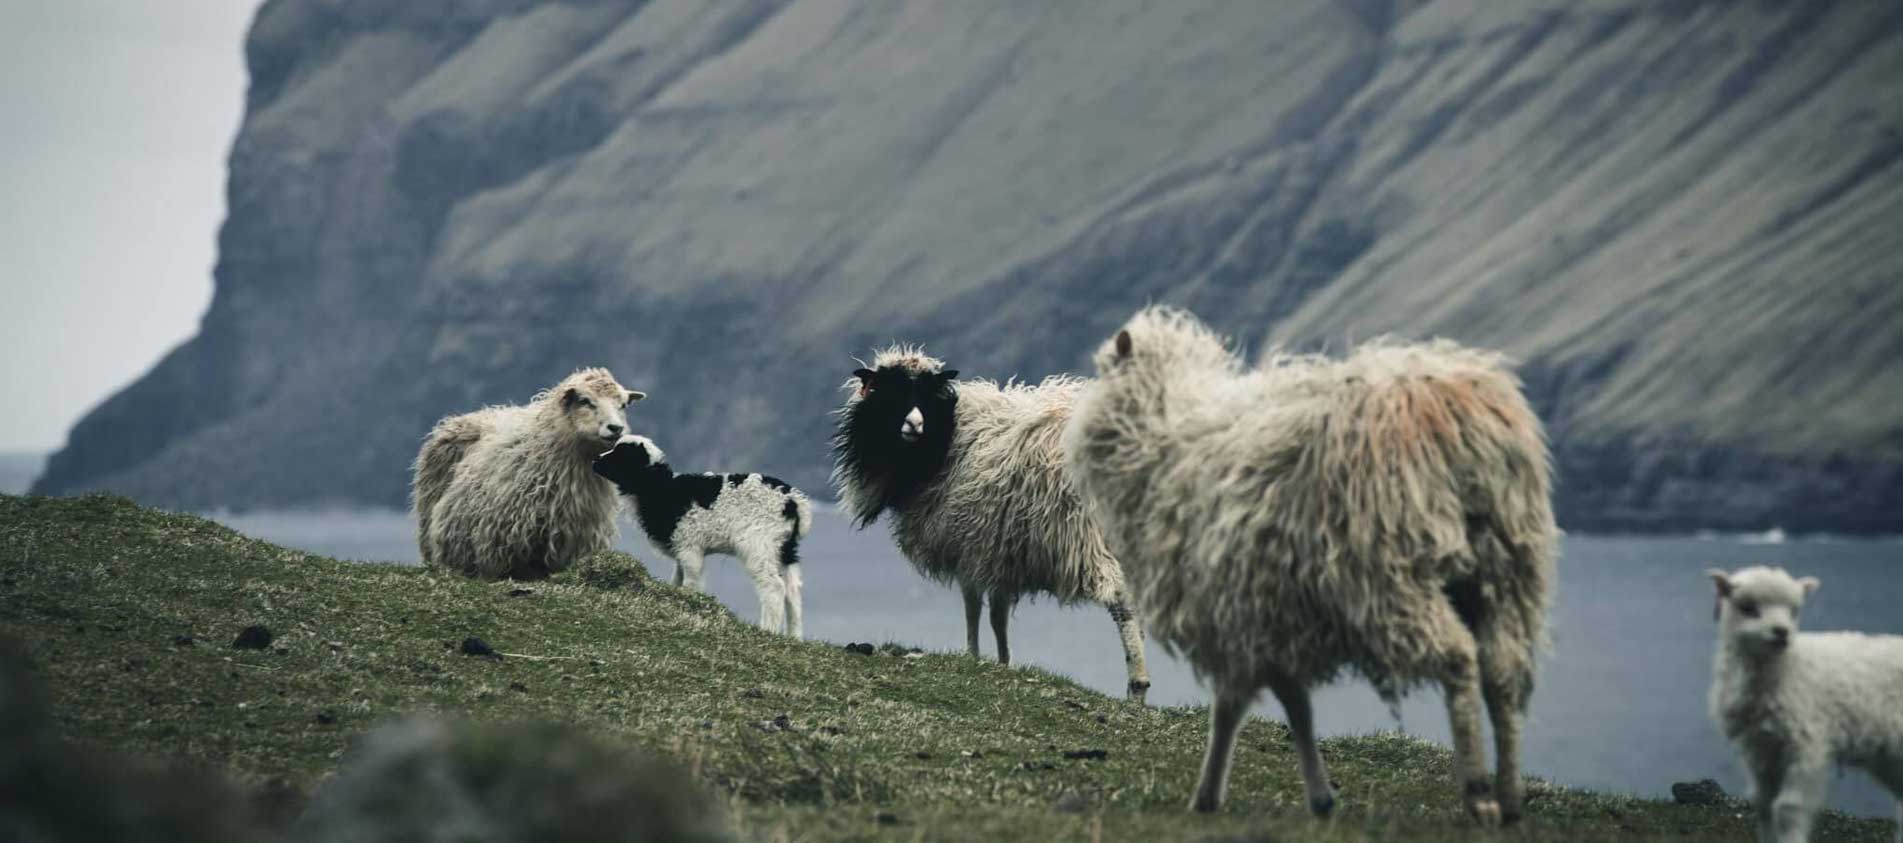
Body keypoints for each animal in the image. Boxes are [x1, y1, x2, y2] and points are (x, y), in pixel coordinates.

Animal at [592, 435, 813, 638]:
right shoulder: (681, 548)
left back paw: (768, 630)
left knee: (774, 586)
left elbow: (691, 582)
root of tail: (794, 502)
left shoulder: (690, 549)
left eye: (621, 454)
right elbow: (677, 579)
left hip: (760, 545)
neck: (661, 490)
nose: (595, 460)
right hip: (785, 550)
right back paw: (794, 637)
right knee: (793, 591)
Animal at [830, 345, 1152, 702]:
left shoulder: (970, 541)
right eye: (892, 390)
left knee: (1122, 603)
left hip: (1089, 535)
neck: (948, 437)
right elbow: (998, 615)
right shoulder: (1001, 550)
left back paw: (1138, 685)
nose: (914, 424)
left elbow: (973, 606)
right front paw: (1004, 661)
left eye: (926, 392)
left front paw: (973, 655)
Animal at [1063, 305, 1559, 823]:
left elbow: (1232, 706)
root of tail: (1459, 415)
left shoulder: (1231, 610)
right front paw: (1319, 796)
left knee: (1459, 659)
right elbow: (1296, 707)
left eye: (1104, 369)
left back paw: (1479, 792)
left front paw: (1208, 793)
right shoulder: (1271, 616)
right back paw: (1510, 796)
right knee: (1502, 674)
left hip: (1394, 576)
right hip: (1506, 570)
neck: (1162, 429)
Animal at [1706, 566, 1903, 843]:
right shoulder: (1761, 750)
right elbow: (1764, 805)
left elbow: (1788, 807)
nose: (1781, 632)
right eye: (1748, 608)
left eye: (1793, 611)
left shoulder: (1807, 746)